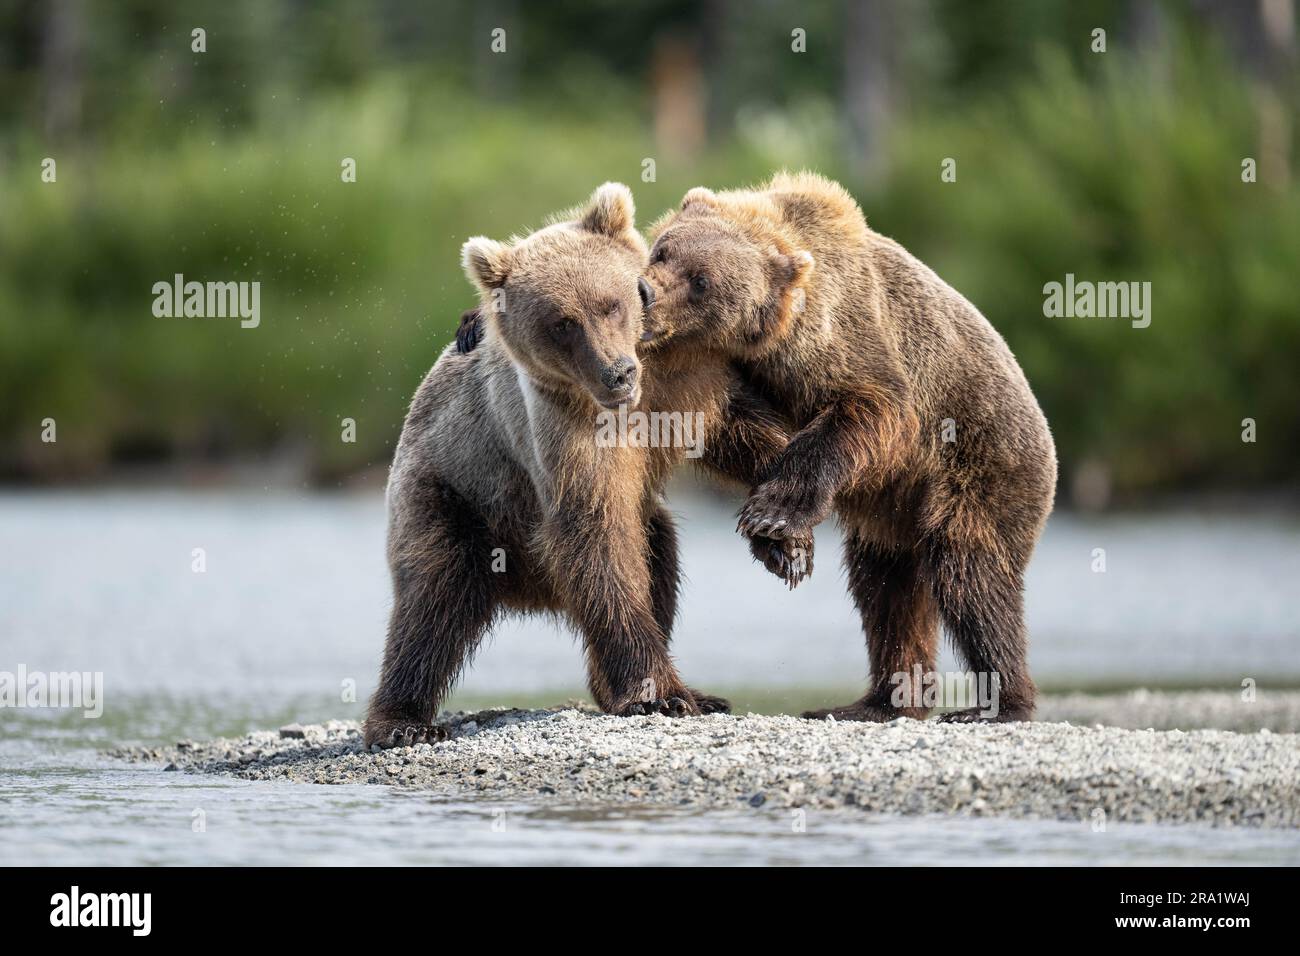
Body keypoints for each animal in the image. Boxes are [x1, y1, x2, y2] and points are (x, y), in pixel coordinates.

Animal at [364, 183, 798, 749]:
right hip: (449, 492)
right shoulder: (564, 432)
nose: (617, 372)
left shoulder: (682, 385)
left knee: (659, 558)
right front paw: (659, 693)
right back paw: (401, 722)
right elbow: (597, 538)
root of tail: (529, 591)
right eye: (561, 324)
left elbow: (737, 431)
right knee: (433, 599)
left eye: (611, 303)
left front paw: (786, 537)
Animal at [641, 171, 1058, 723]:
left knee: (972, 574)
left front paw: (775, 516)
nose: (644, 291)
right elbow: (732, 431)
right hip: (893, 517)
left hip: (982, 467)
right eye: (664, 249)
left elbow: (872, 413)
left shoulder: (848, 342)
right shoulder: (731, 374)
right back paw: (877, 701)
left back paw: (998, 703)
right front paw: (784, 548)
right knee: (888, 595)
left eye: (702, 281)